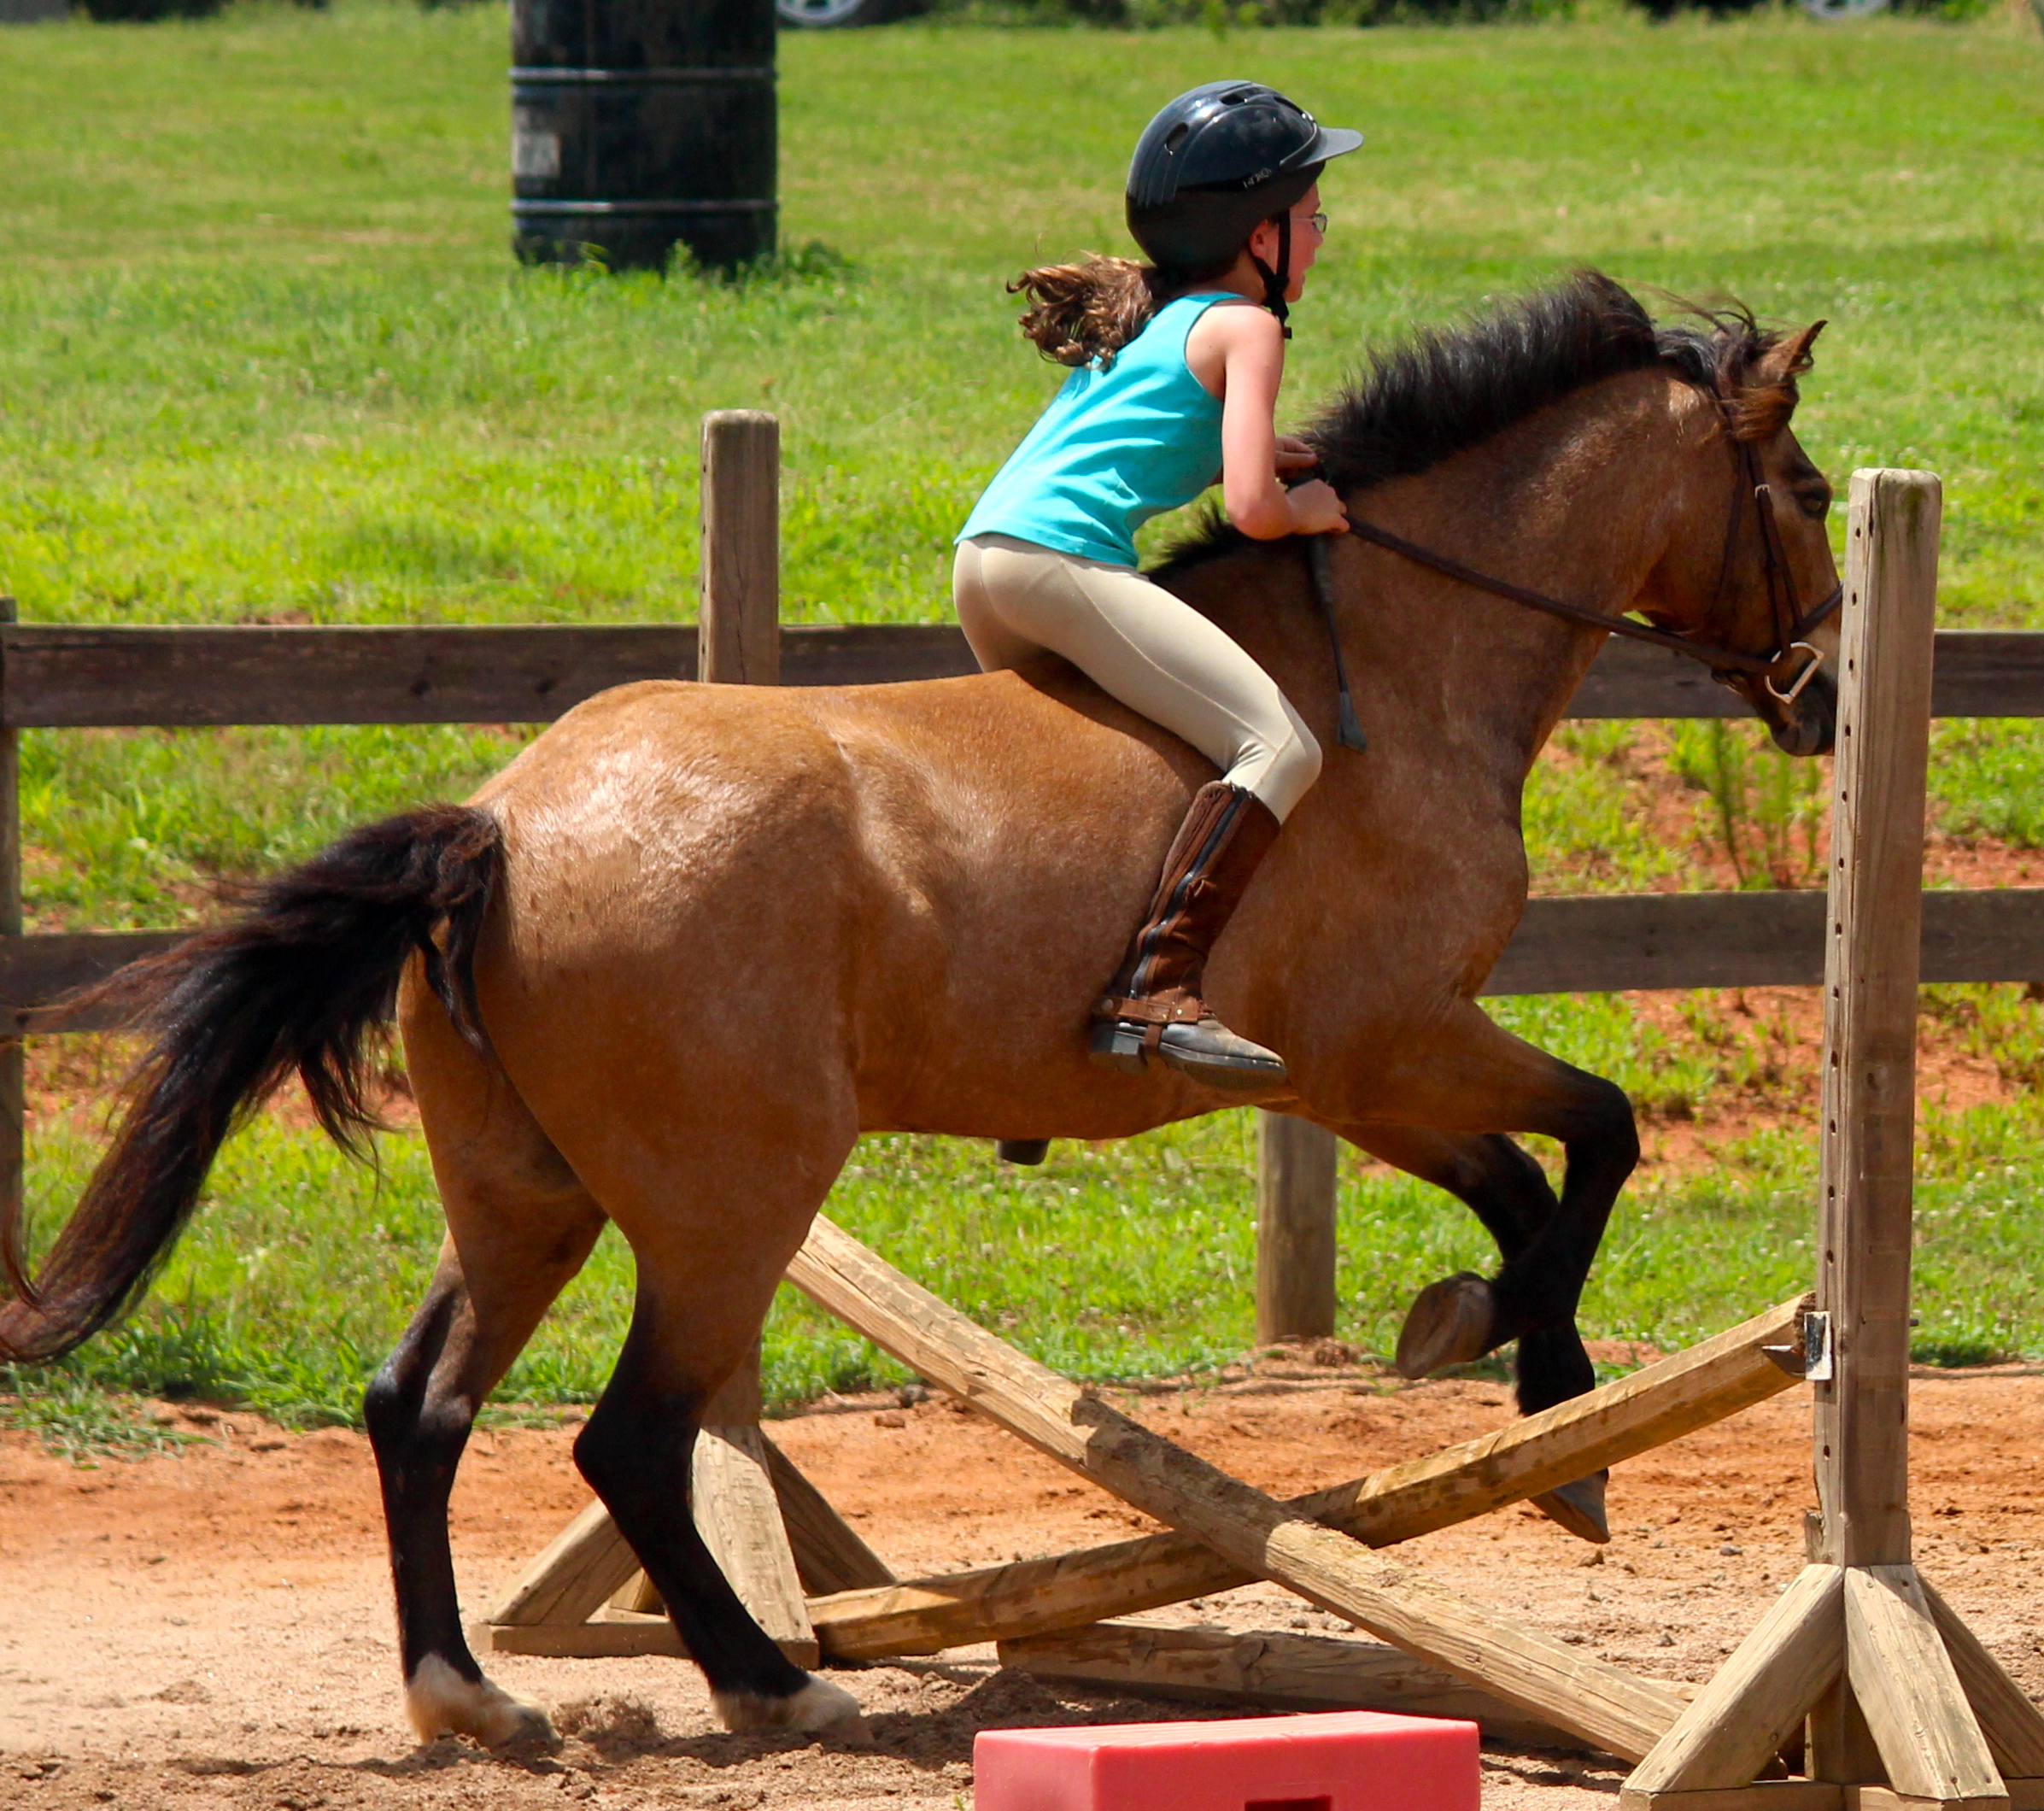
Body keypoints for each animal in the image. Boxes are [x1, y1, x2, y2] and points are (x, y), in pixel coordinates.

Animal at [0, 271, 1841, 1750]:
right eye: (1811, 491)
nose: (1823, 695)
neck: (1402, 657)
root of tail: (504, 824)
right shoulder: (1372, 1052)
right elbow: (1586, 1145)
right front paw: (1543, 1398)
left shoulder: (1366, 1070)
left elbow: (1534, 1175)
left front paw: (1508, 1365)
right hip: (729, 1195)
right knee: (632, 1436)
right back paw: (770, 1683)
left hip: (525, 1189)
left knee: (419, 1406)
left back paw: (473, 1696)